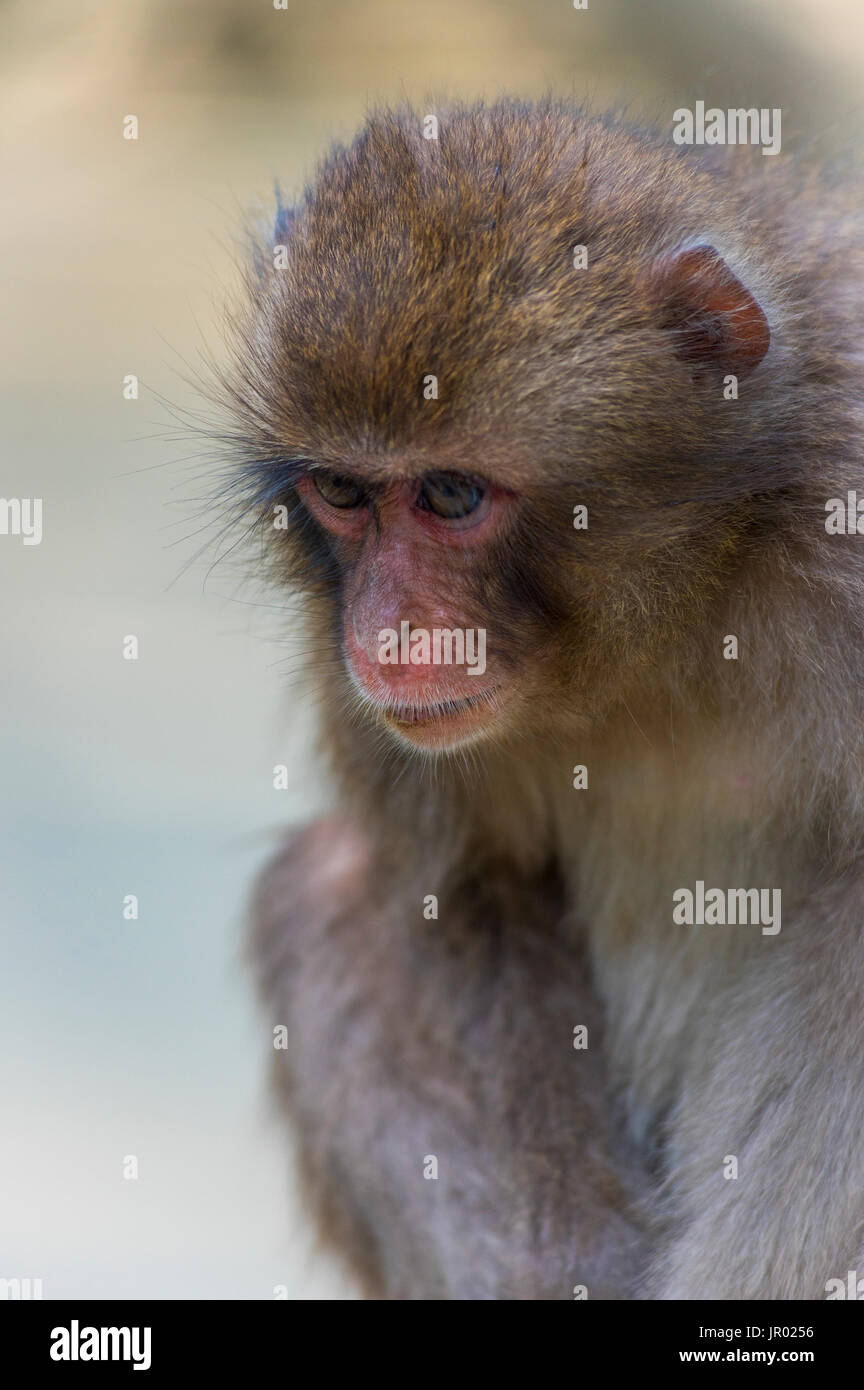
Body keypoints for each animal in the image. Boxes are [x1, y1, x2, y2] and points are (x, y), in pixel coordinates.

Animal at [219, 100, 864, 1299]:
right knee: (328, 885)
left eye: (451, 494)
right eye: (341, 492)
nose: (387, 632)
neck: (689, 594)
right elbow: (465, 896)